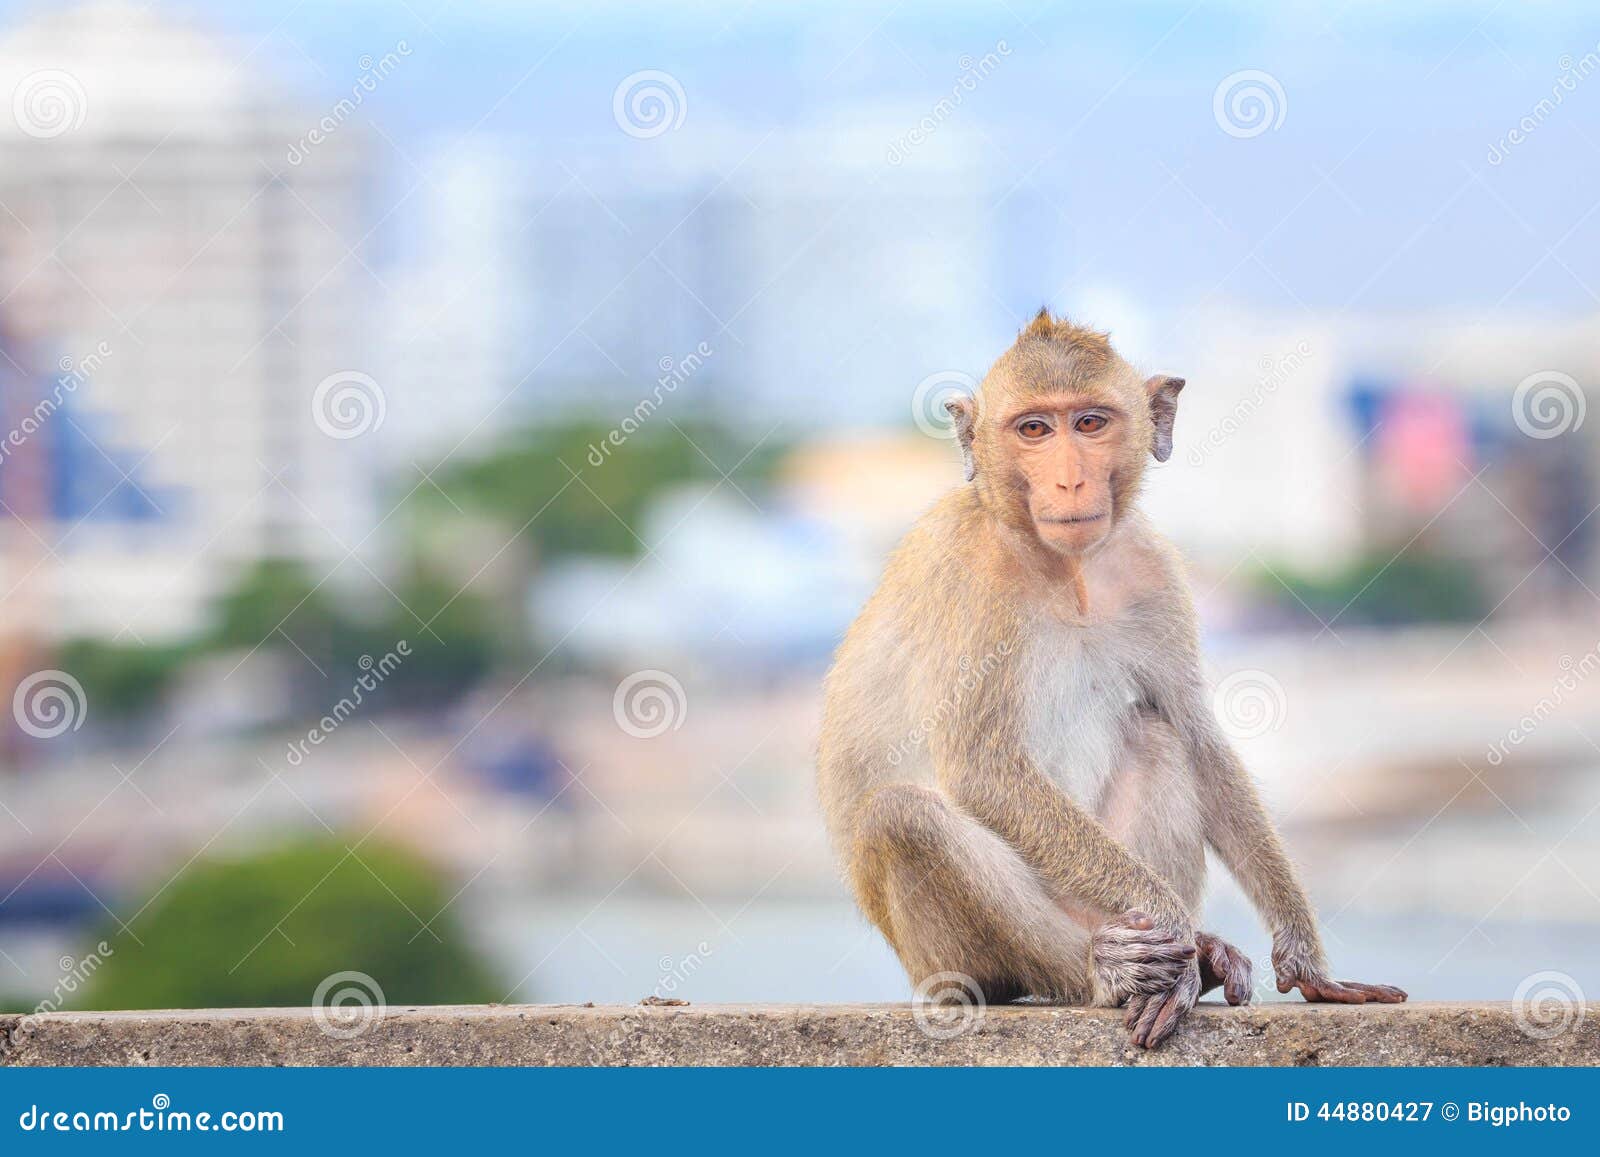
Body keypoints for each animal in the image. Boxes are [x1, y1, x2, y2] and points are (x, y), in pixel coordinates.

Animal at [818, 309, 1405, 1049]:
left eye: (1090, 422)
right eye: (1034, 429)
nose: (1070, 481)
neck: (1063, 565)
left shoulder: (1150, 566)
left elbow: (1193, 733)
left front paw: (1304, 960)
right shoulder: (973, 576)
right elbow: (981, 765)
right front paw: (1174, 930)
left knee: (1156, 734)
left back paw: (1197, 962)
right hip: (949, 957)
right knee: (905, 816)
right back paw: (1113, 971)